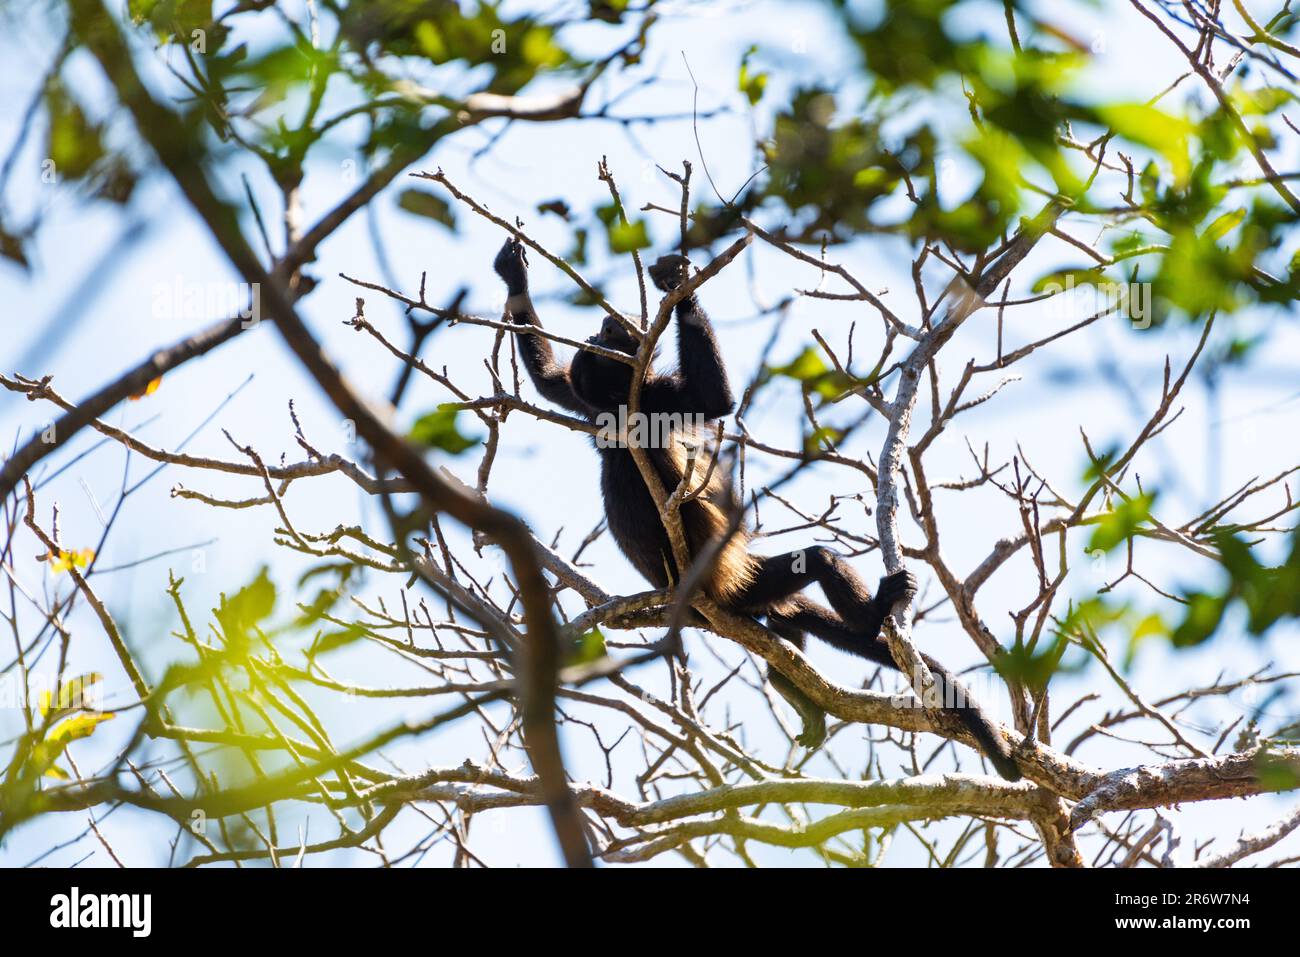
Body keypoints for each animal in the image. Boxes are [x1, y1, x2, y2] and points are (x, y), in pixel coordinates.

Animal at [492, 237, 1021, 781]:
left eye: (601, 337)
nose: (606, 325)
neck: (619, 409)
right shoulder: (656, 399)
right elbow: (714, 401)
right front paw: (680, 288)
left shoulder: (596, 408)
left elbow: (552, 384)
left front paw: (515, 276)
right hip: (745, 585)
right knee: (818, 562)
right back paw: (874, 614)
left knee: (797, 617)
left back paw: (792, 684)